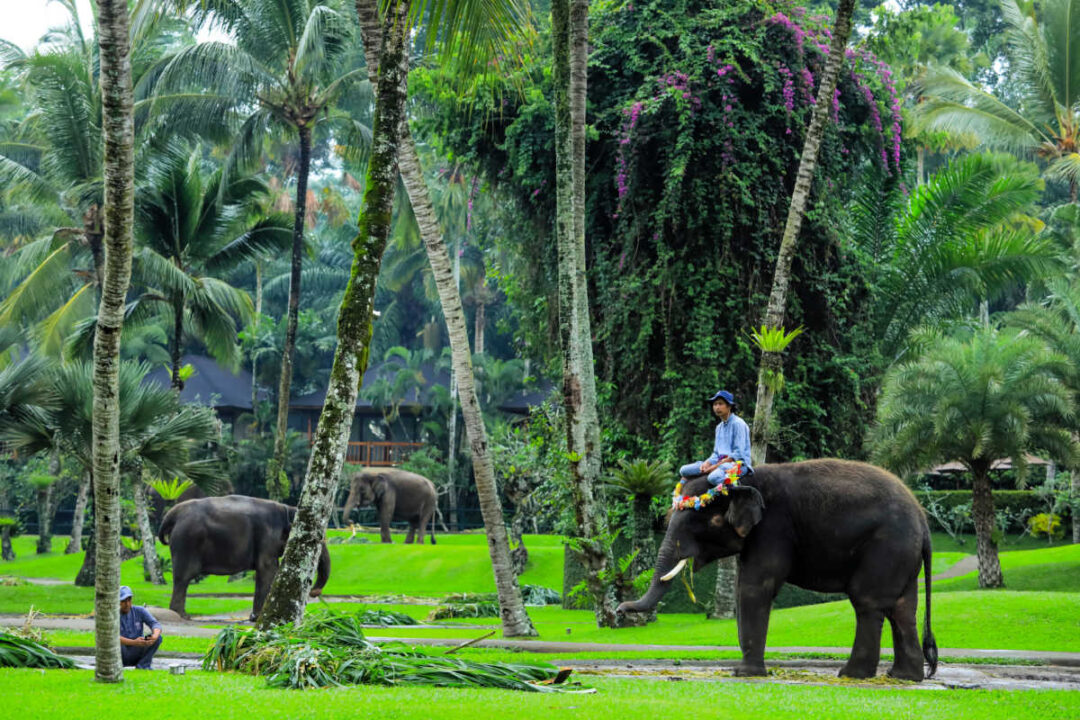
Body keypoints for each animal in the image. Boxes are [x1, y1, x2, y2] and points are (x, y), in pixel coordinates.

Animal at [158, 495, 330, 620]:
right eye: (317, 537)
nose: (314, 593)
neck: (287, 509)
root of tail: (172, 514)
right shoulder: (267, 537)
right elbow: (268, 569)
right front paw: (257, 618)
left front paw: (255, 617)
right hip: (187, 541)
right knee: (184, 577)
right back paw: (183, 616)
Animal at [617, 459, 938, 681]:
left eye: (709, 521)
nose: (619, 610)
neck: (746, 478)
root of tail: (924, 523)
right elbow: (741, 588)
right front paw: (745, 670)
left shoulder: (773, 529)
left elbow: (755, 587)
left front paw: (743, 673)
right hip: (901, 556)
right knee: (902, 607)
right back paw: (903, 677)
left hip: (886, 547)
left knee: (867, 603)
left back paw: (851, 674)